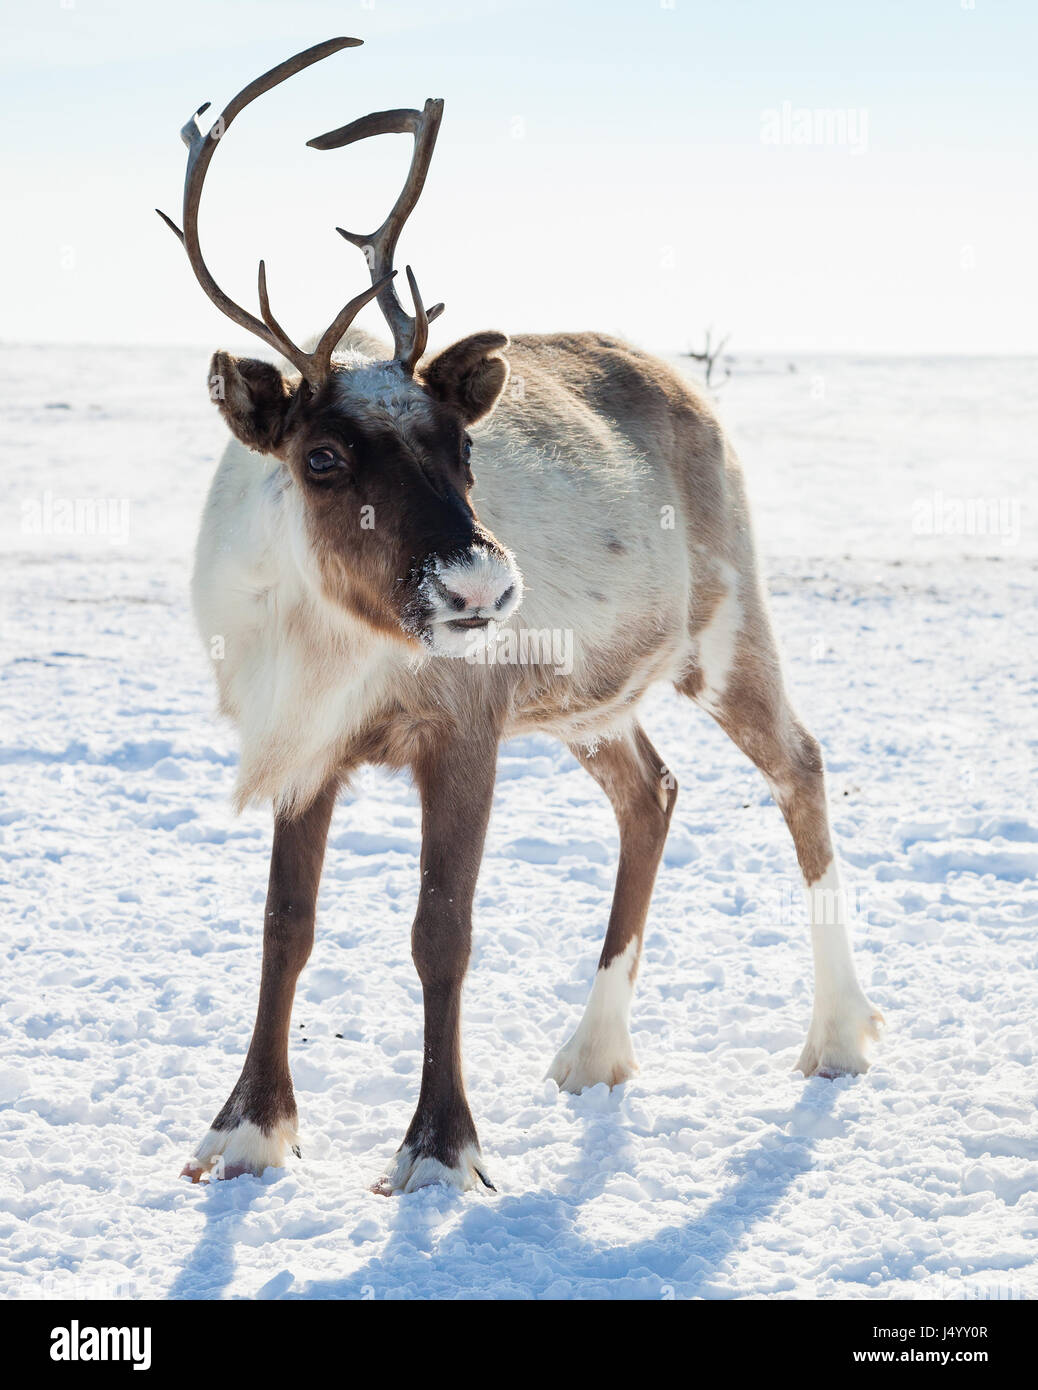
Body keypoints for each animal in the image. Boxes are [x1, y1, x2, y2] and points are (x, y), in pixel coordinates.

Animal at [159, 37, 883, 1195]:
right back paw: (596, 1050)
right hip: (590, 701)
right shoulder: (303, 744)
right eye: (322, 458)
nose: (481, 588)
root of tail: (684, 383)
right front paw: (249, 1128)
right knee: (652, 792)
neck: (336, 642)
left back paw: (839, 1033)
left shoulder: (464, 728)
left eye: (461, 447)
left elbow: (441, 930)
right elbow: (285, 926)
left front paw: (438, 1144)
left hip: (726, 632)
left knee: (800, 767)